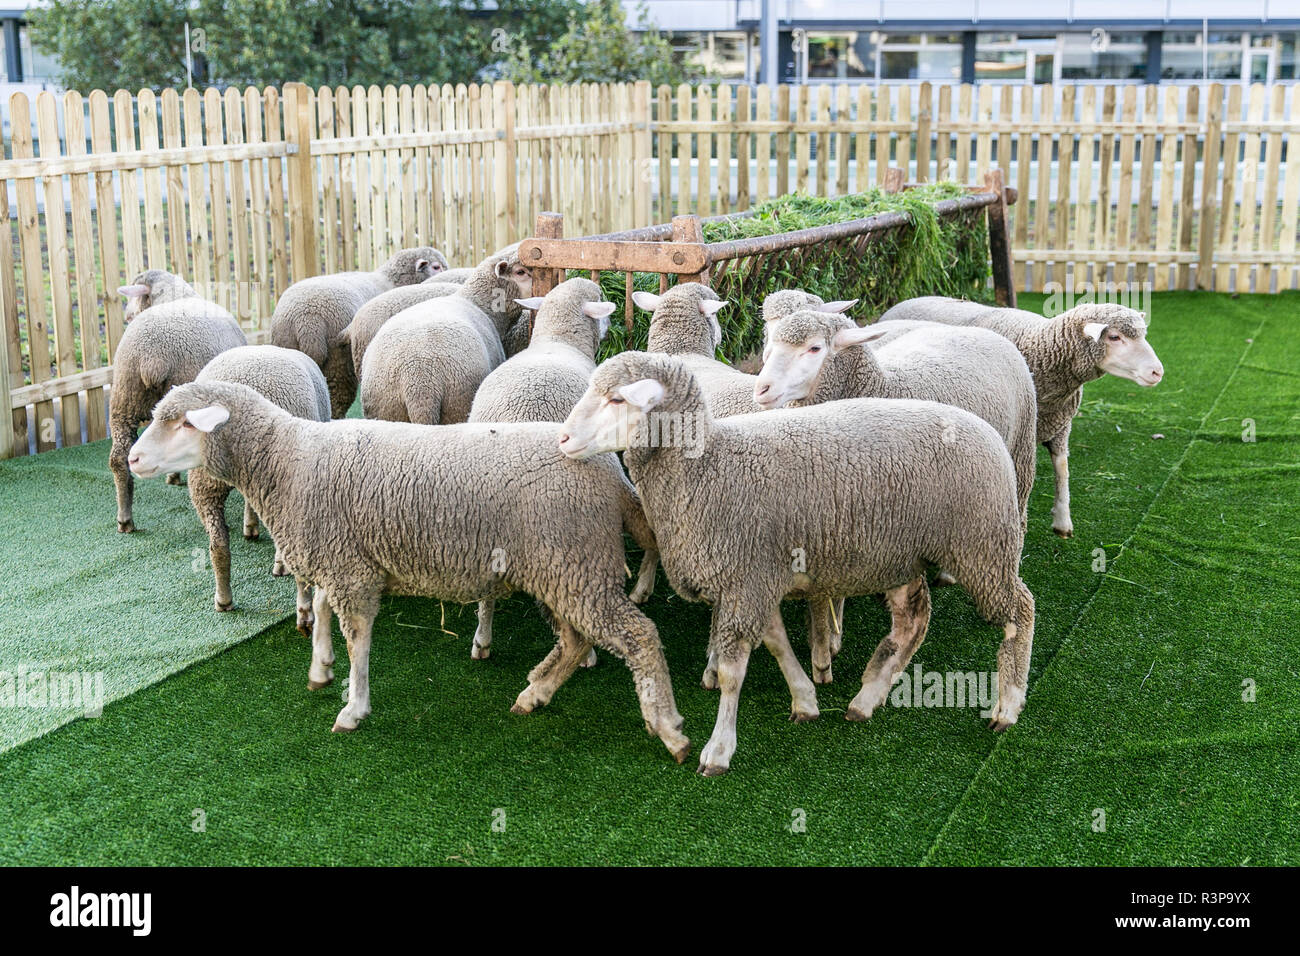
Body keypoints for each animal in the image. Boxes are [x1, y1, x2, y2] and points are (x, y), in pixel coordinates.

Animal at [108, 282, 246, 533]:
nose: (127, 315)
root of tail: (151, 357)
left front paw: (171, 476)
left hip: (123, 398)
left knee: (118, 458)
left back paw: (125, 519)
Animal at [126, 380, 690, 763]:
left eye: (182, 422)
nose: (132, 458)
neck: (286, 464)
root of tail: (612, 473)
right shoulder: (343, 557)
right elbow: (324, 610)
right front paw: (320, 667)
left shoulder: (350, 571)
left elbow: (358, 638)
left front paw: (353, 708)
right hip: (565, 568)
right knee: (576, 640)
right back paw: (536, 695)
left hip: (576, 562)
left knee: (637, 635)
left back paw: (669, 728)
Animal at [559, 351, 1035, 776]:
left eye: (617, 399)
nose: (562, 439)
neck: (707, 466)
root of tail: (990, 435)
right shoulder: (757, 577)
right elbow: (777, 642)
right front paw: (805, 700)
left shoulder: (746, 579)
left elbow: (733, 672)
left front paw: (718, 750)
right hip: (902, 555)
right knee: (913, 620)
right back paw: (867, 698)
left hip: (982, 544)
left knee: (1021, 609)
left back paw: (1008, 705)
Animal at [876, 297, 1165, 537]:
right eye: (1114, 336)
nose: (1157, 372)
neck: (1042, 346)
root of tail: (905, 301)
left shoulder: (1060, 425)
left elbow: (1062, 467)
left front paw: (1062, 519)